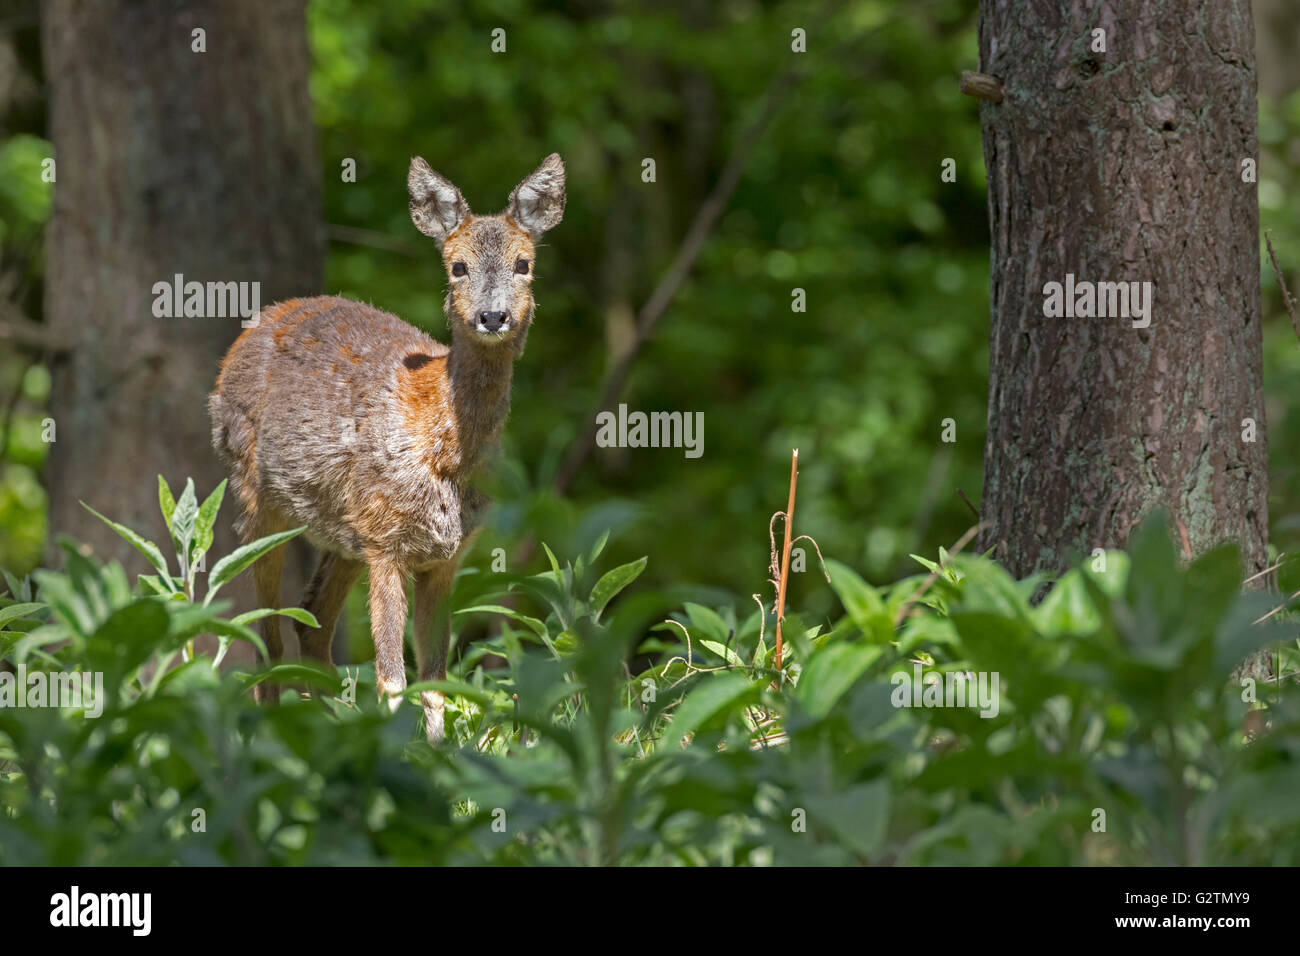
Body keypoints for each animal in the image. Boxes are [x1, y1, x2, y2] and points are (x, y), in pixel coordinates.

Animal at [208, 153, 566, 742]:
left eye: (524, 263)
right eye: (457, 267)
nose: (493, 317)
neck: (442, 450)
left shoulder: (443, 555)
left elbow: (436, 677)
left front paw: (440, 752)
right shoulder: (386, 545)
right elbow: (393, 678)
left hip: (343, 529)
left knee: (312, 623)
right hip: (259, 498)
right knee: (266, 633)